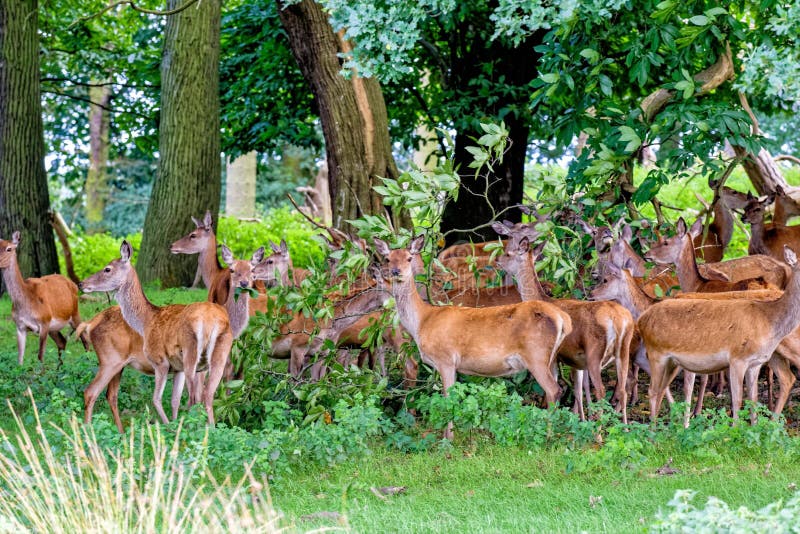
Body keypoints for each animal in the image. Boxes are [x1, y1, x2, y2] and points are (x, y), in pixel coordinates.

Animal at [0, 231, 89, 366]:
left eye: (9, 249)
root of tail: (73, 283)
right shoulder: (20, 326)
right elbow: (19, 359)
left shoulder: (44, 322)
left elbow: (40, 356)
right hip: (54, 327)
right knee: (62, 342)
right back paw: (59, 368)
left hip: (74, 313)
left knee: (85, 339)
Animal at [80, 241, 233, 425]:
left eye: (107, 269)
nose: (81, 283)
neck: (146, 321)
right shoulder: (178, 368)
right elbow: (174, 401)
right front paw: (174, 424)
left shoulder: (160, 361)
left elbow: (157, 399)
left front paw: (169, 426)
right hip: (219, 355)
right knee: (208, 397)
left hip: (183, 354)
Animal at [374, 235, 572, 439]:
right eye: (388, 259)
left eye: (409, 258)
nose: (396, 271)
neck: (422, 321)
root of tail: (562, 319)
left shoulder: (445, 359)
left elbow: (448, 398)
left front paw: (448, 439)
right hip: (551, 359)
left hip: (536, 355)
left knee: (554, 390)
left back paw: (548, 435)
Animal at [495, 236, 634, 423]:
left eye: (508, 253)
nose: (497, 260)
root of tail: (619, 320)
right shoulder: (576, 359)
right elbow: (578, 389)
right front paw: (579, 420)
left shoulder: (554, 356)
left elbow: (556, 389)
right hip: (623, 351)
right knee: (622, 389)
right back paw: (624, 426)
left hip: (595, 352)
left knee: (601, 390)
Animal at [639, 245, 800, 424]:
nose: (647, 255)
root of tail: (641, 319)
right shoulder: (737, 359)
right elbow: (738, 401)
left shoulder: (754, 362)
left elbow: (752, 401)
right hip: (657, 354)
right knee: (653, 390)